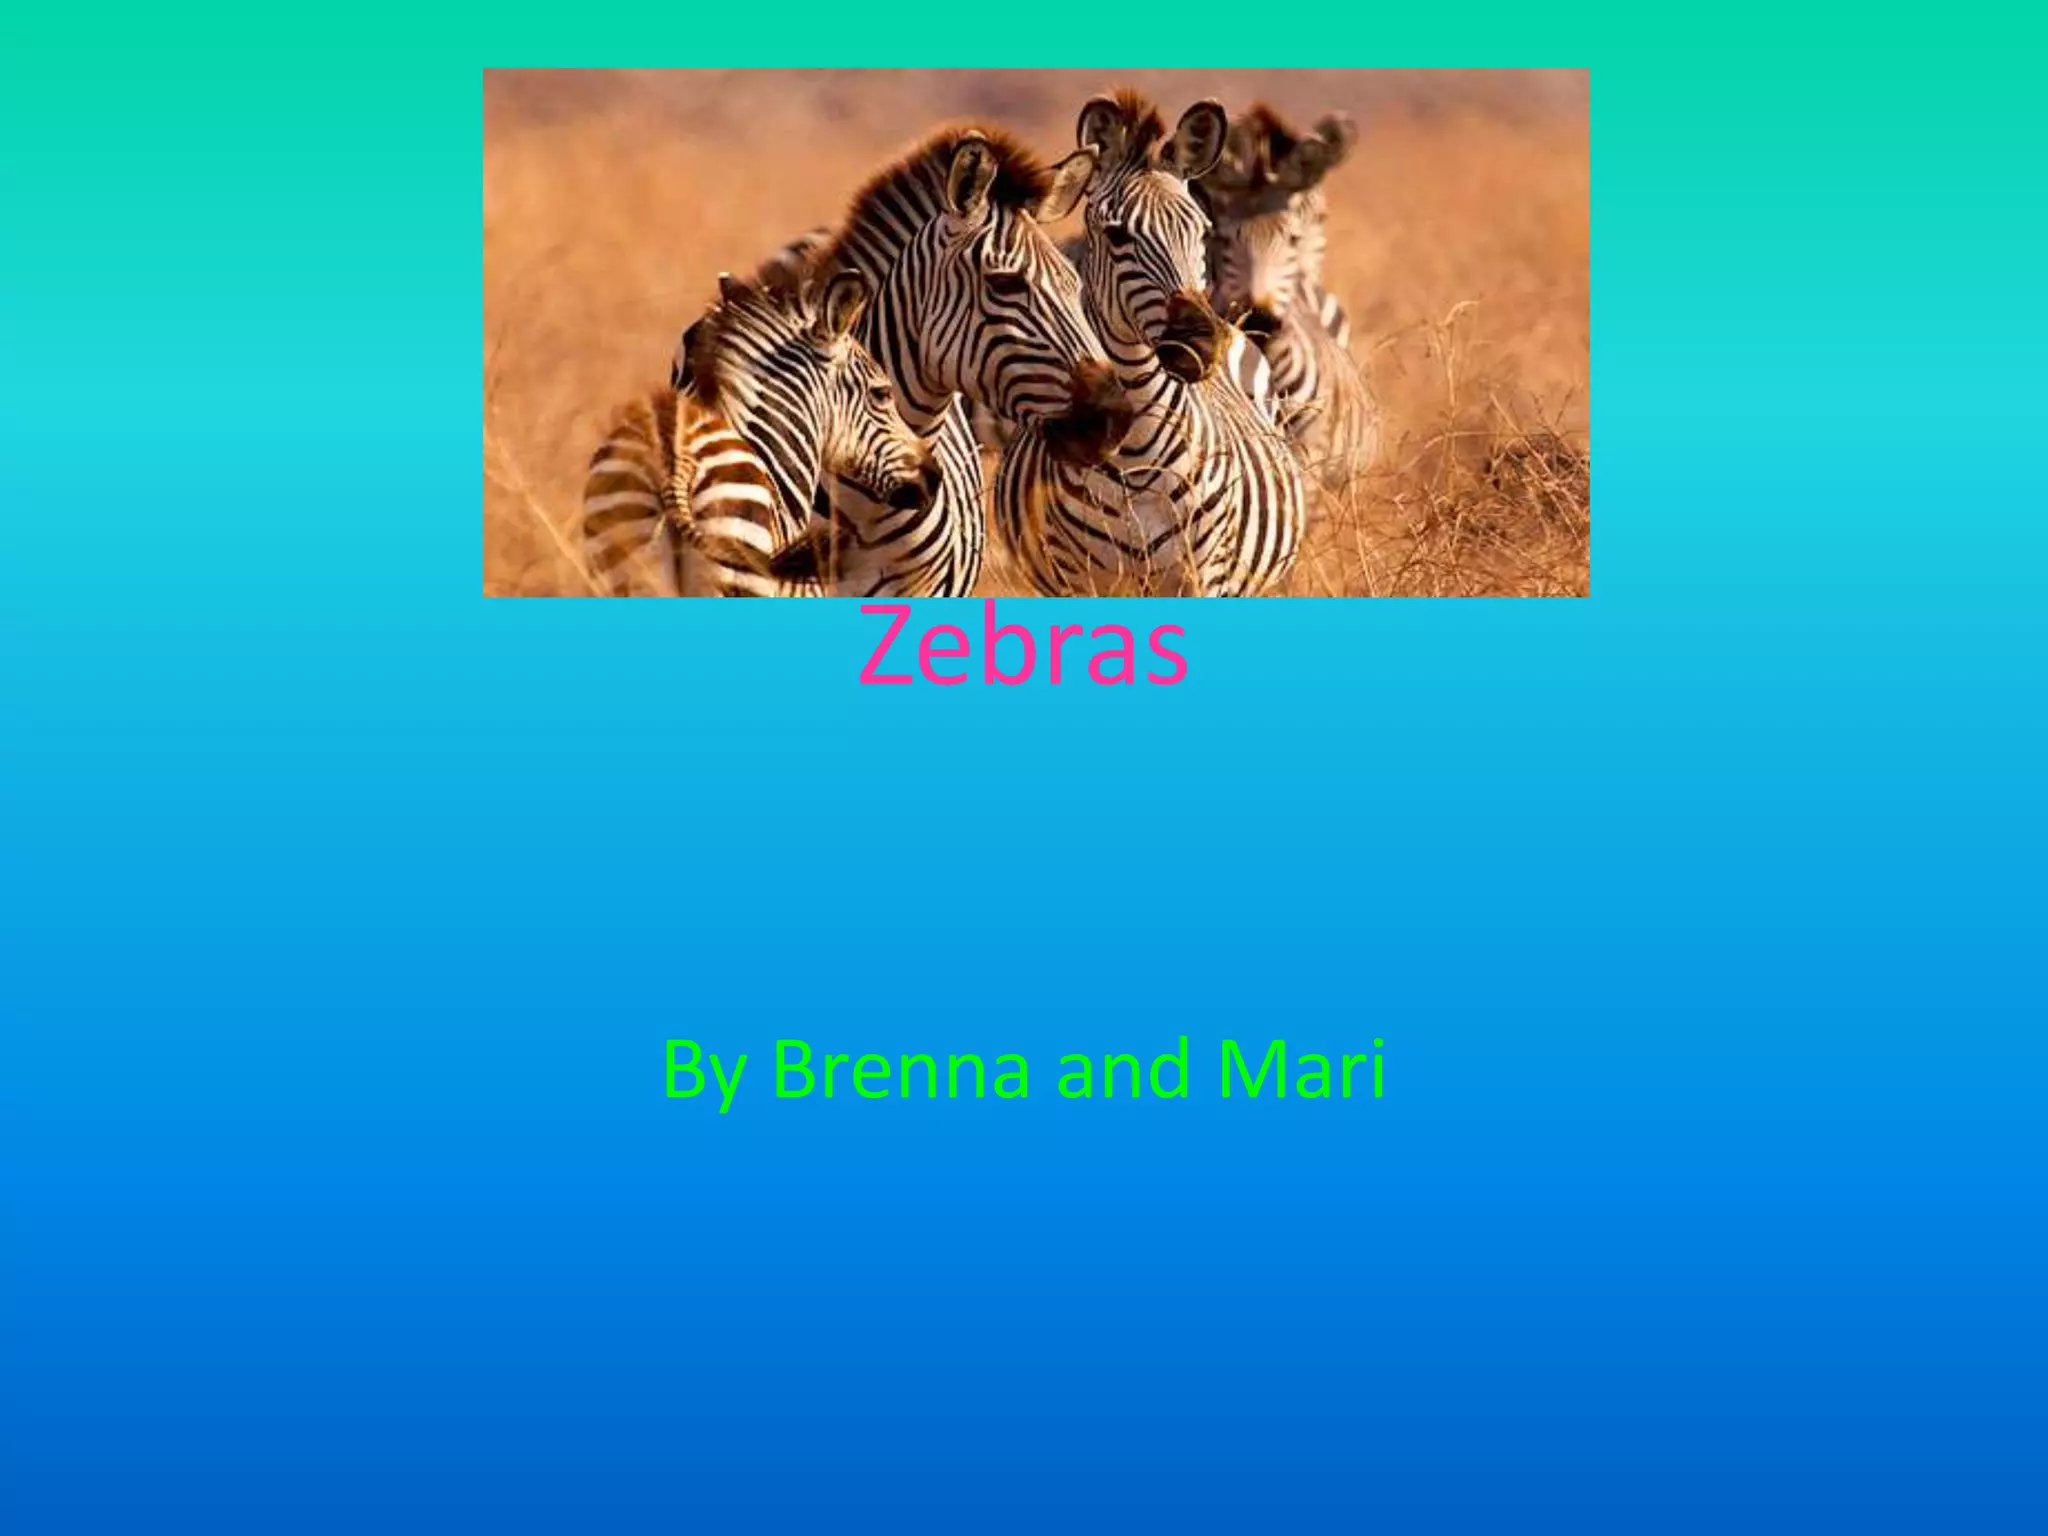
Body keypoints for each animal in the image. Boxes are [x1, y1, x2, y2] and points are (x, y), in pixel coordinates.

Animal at [992, 92, 1308, 597]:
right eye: (1117, 235)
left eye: (1202, 231)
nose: (1200, 340)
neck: (1137, 453)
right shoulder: (1081, 581)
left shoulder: (1205, 577)